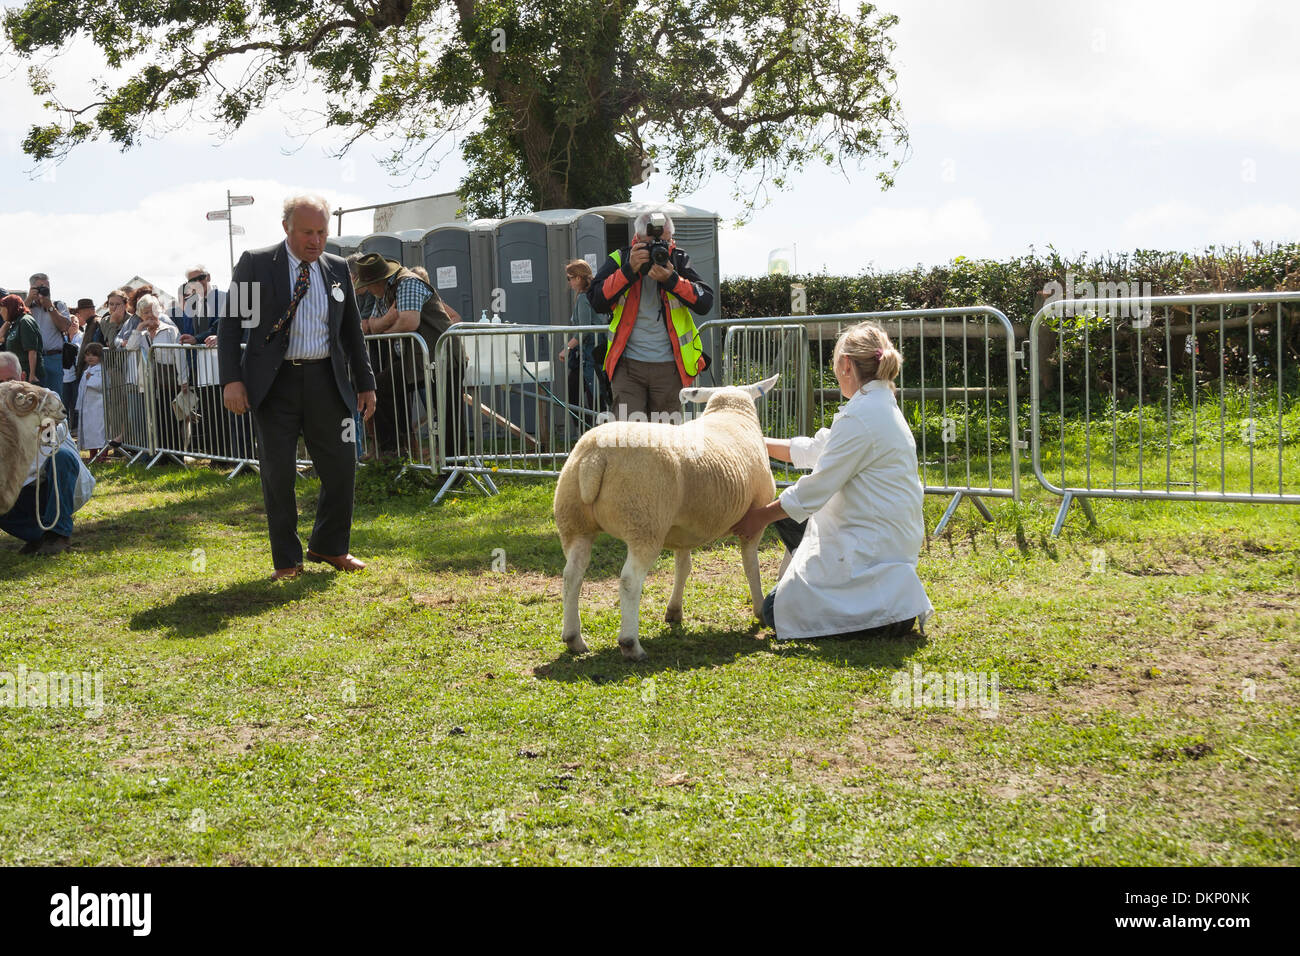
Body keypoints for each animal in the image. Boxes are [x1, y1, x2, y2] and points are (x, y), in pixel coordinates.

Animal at [553, 374, 779, 661]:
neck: (731, 411)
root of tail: (595, 458)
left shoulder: (683, 530)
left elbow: (683, 567)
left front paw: (674, 611)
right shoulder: (755, 521)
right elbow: (751, 567)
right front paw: (760, 610)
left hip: (574, 520)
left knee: (572, 575)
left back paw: (574, 639)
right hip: (645, 523)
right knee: (629, 580)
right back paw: (631, 645)